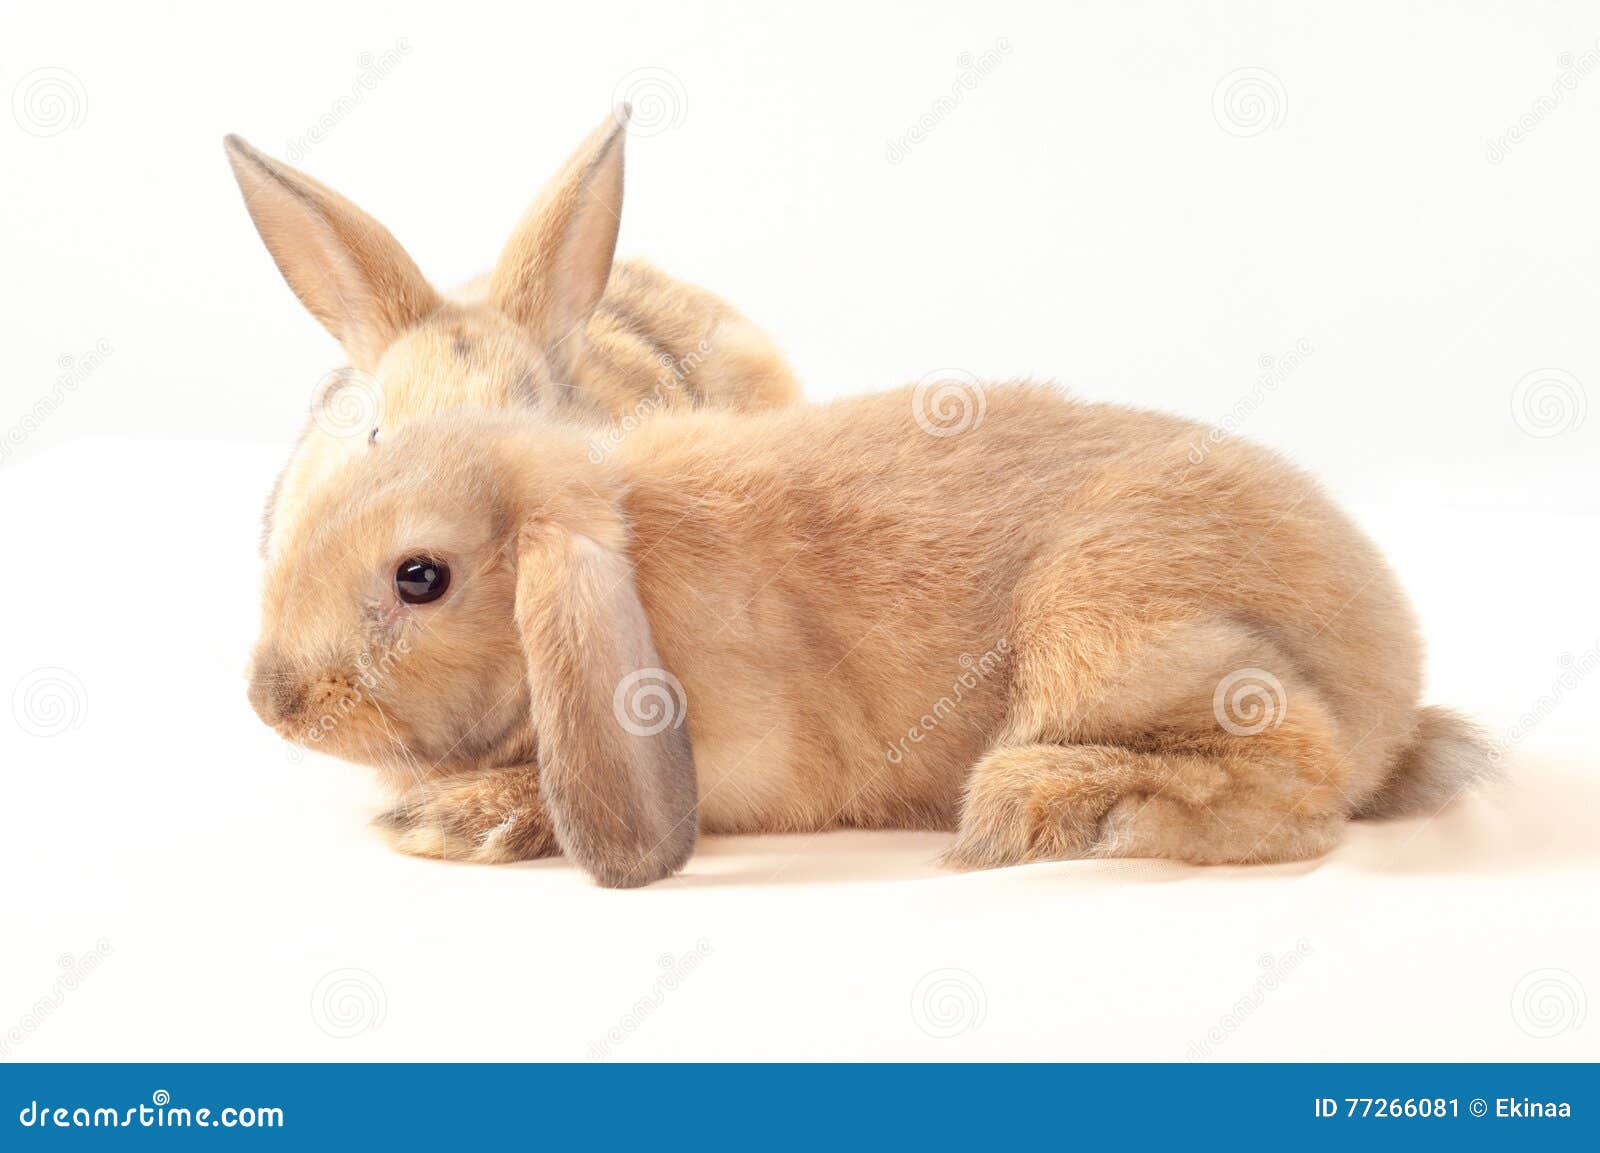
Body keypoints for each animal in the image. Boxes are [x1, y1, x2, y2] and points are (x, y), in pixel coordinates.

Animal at [245, 380, 1495, 887]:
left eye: (420, 577)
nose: (271, 698)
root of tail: (1392, 681)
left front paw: (453, 817)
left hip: (1106, 626)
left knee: (1299, 777)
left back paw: (1047, 810)